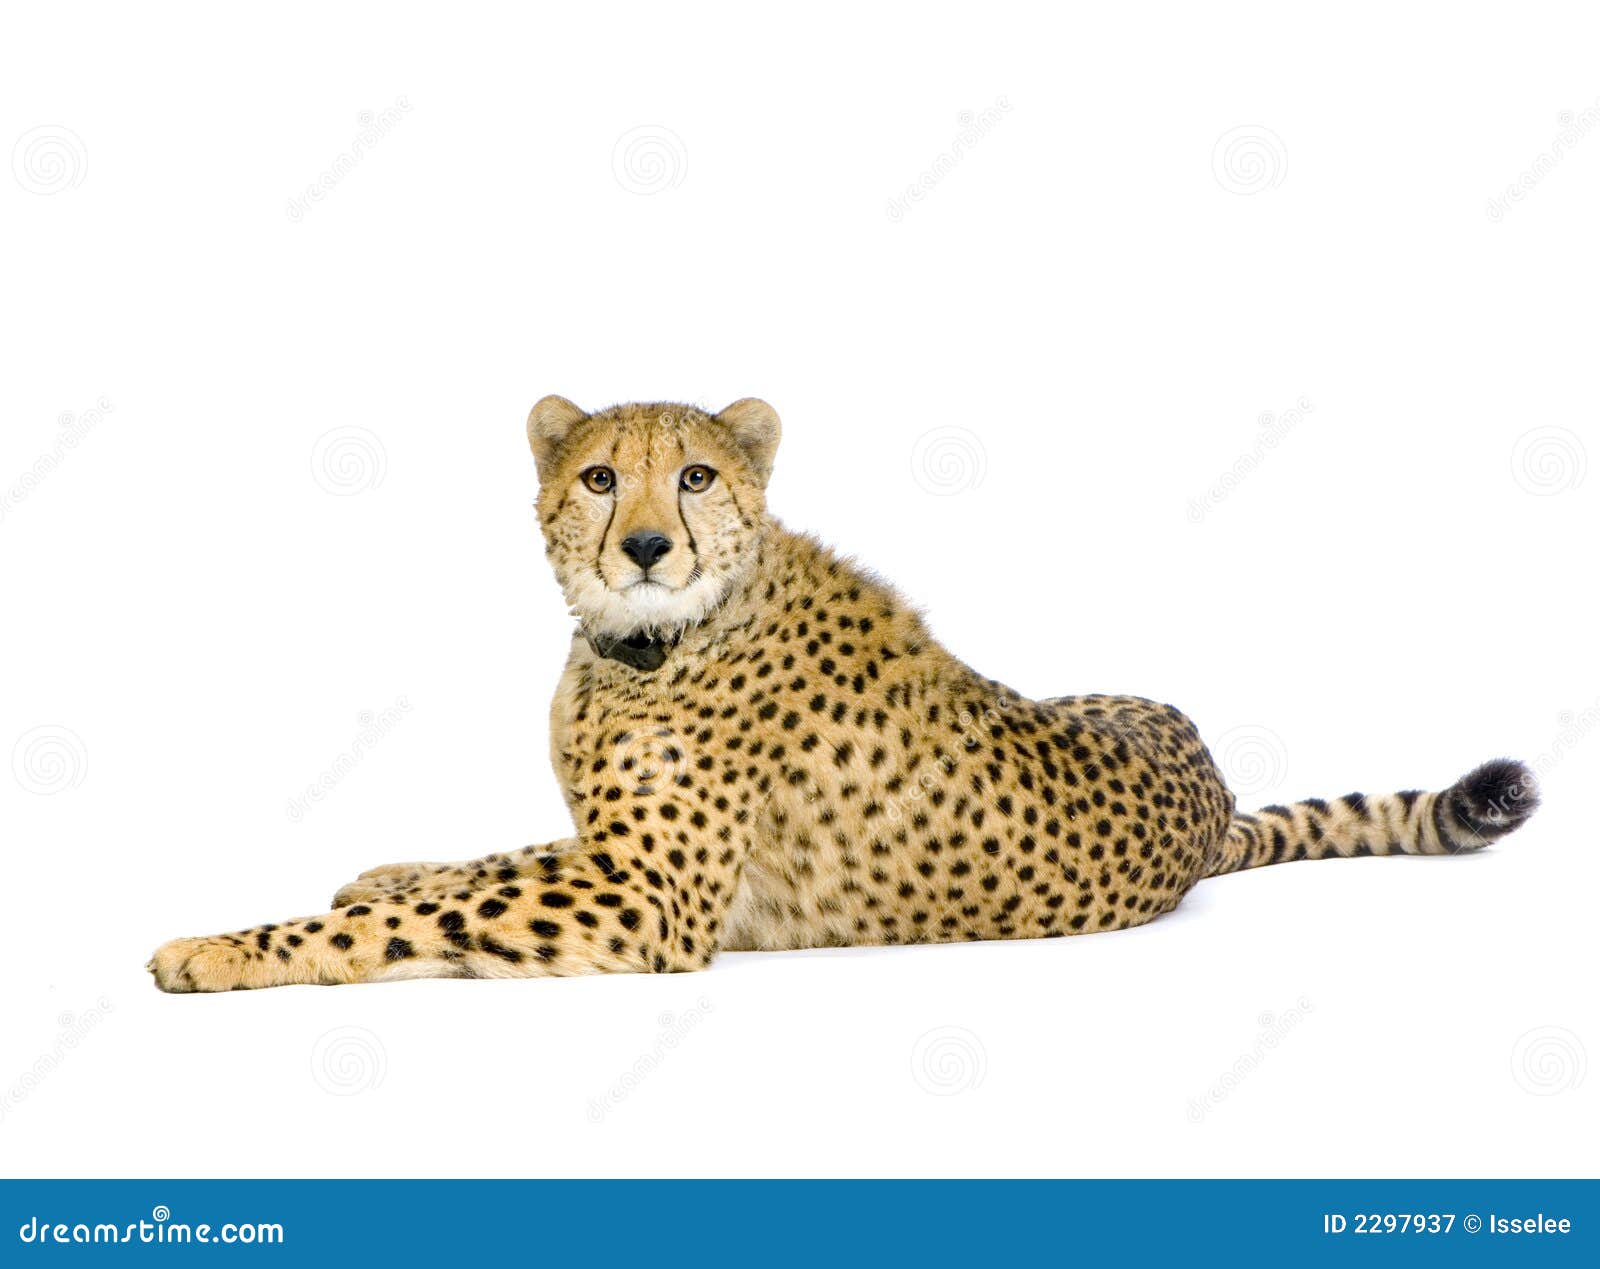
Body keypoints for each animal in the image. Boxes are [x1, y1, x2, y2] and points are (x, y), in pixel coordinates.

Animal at [147, 396, 1541, 991]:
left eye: (696, 476)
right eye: (599, 477)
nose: (643, 544)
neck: (645, 642)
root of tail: (1208, 782)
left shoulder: (648, 902)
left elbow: (424, 919)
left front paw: (219, 946)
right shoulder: (608, 854)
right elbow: (480, 861)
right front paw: (384, 867)